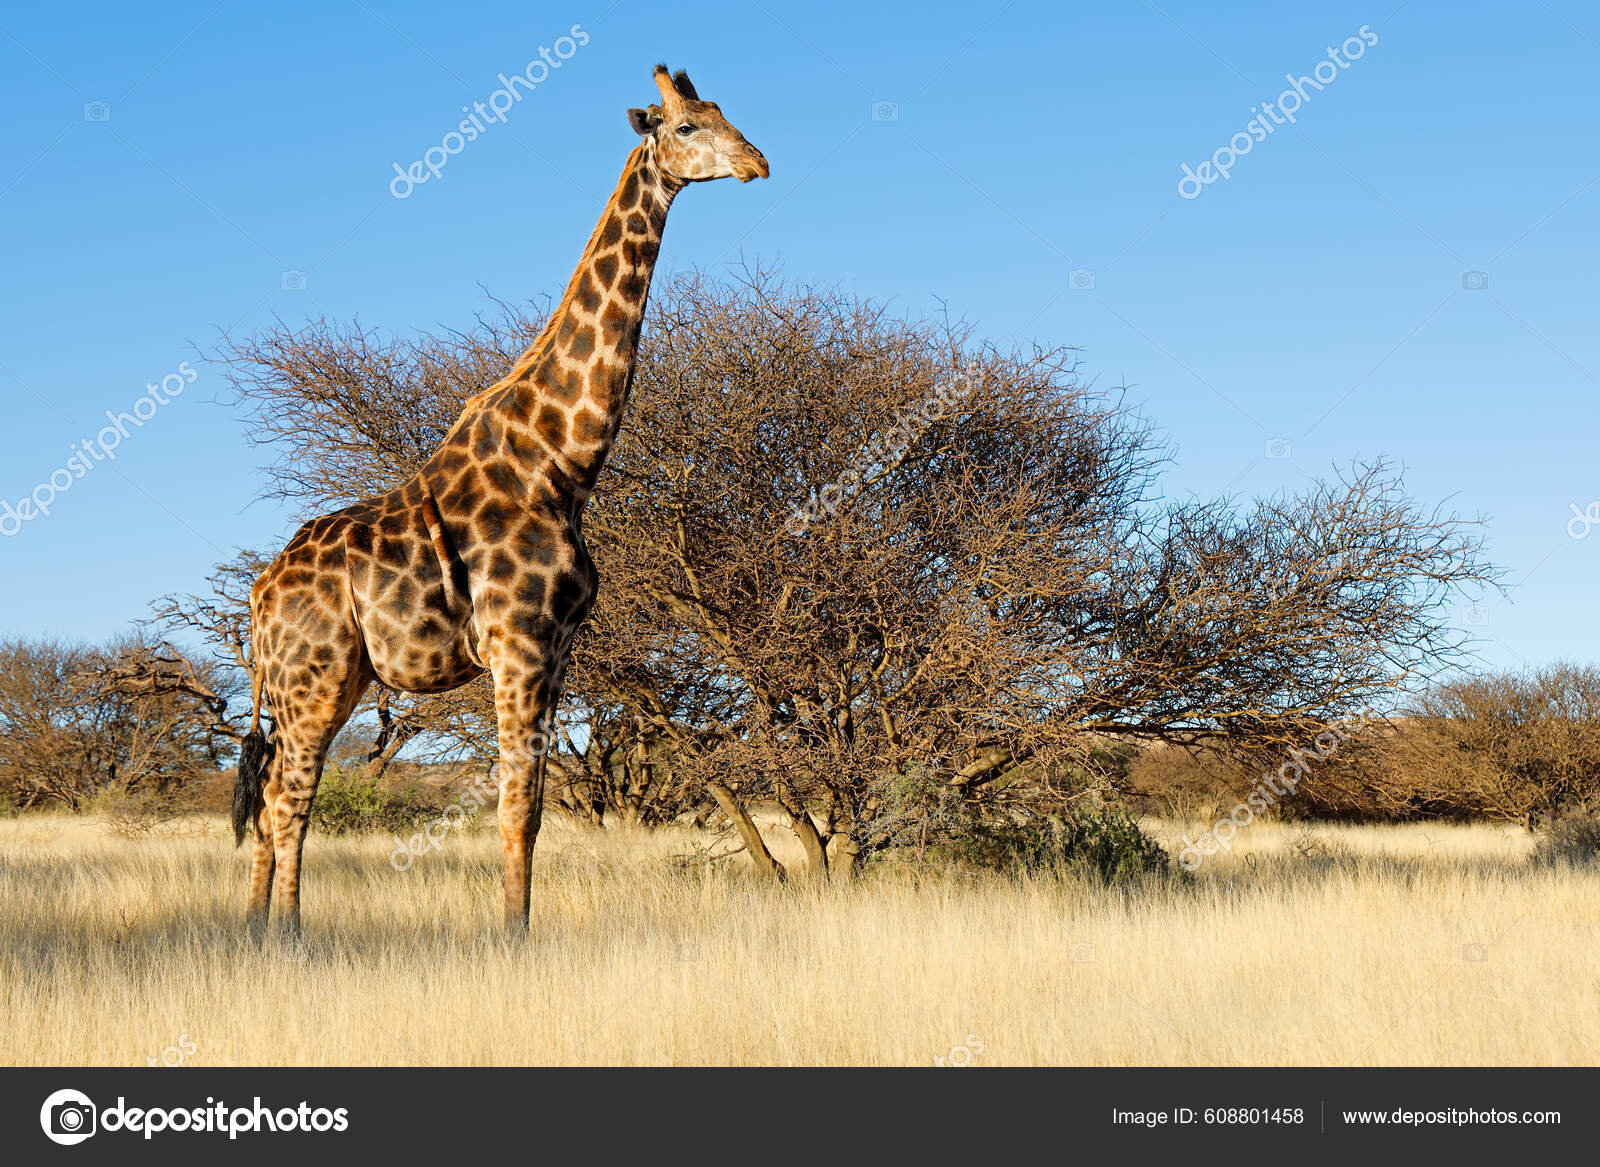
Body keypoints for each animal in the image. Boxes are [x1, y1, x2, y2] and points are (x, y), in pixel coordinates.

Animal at [233, 65, 768, 936]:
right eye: (686, 126)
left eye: (724, 112)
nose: (758, 161)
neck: (563, 460)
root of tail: (257, 592)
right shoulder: (519, 640)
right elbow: (515, 807)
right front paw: (512, 939)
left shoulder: (559, 648)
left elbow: (539, 808)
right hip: (311, 676)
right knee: (289, 797)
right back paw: (288, 936)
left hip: (330, 680)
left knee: (276, 791)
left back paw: (256, 929)